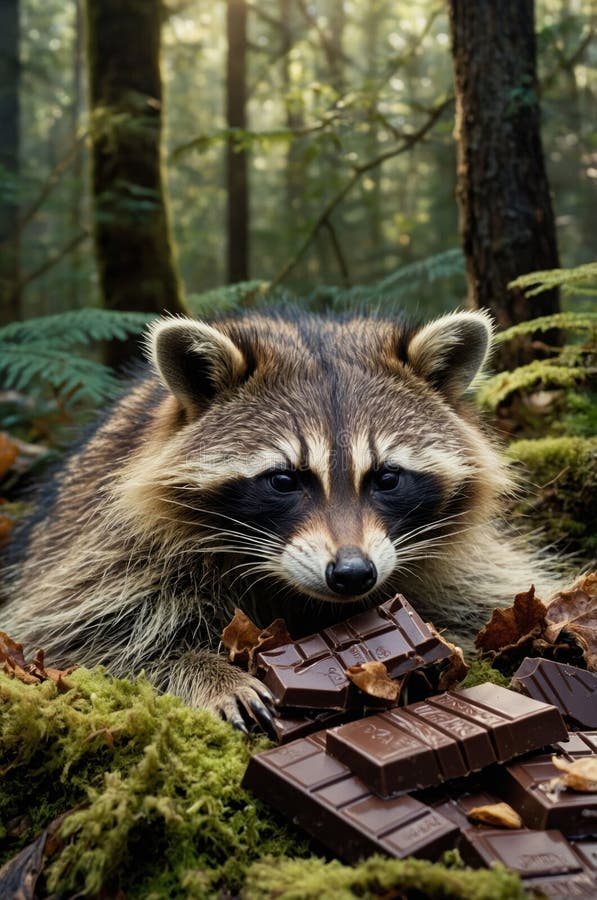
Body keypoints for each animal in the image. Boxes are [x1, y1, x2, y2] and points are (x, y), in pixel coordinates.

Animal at [1, 310, 561, 729]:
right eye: (285, 480)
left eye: (387, 477)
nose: (353, 573)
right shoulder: (108, 547)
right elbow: (87, 634)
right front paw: (202, 670)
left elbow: (477, 597)